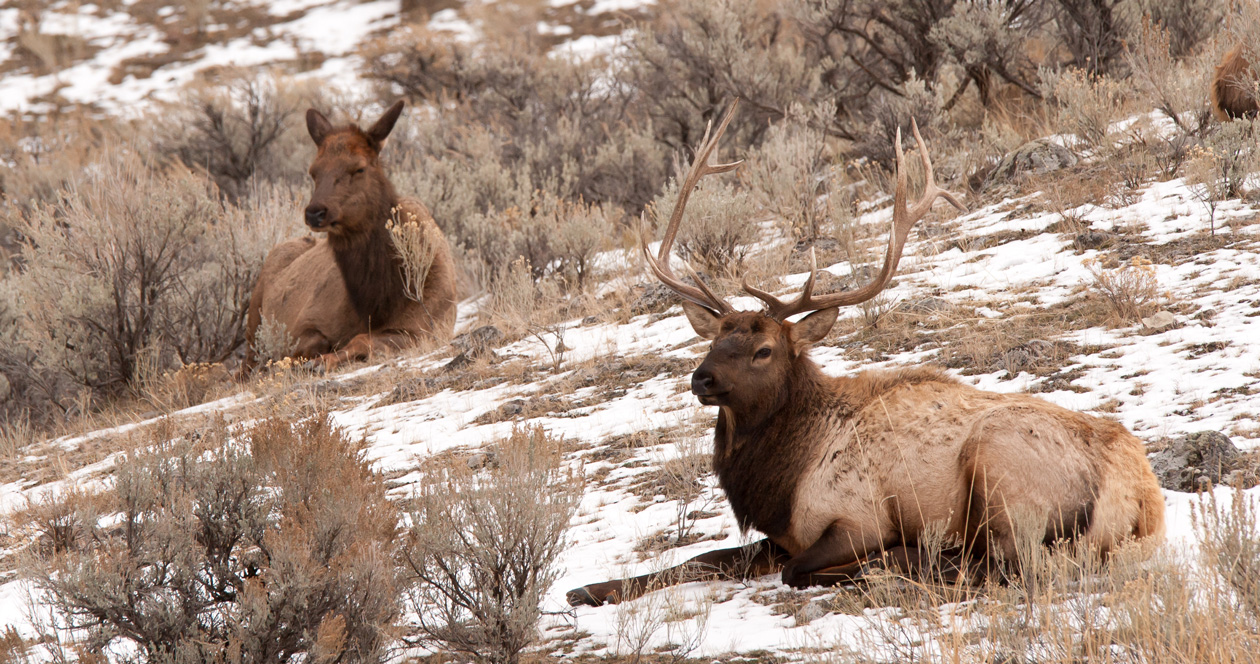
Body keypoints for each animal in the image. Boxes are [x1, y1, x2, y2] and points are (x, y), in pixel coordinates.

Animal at [241, 101, 457, 376]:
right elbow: (312, 343)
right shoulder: (307, 320)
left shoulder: (430, 325)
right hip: (253, 320)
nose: (315, 212)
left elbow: (363, 340)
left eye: (359, 168)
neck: (378, 300)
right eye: (313, 171)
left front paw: (320, 362)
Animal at [567, 104, 1165, 607]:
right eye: (713, 341)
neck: (780, 483)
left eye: (764, 350)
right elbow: (697, 560)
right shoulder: (777, 536)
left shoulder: (856, 517)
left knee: (1005, 564)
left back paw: (905, 562)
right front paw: (586, 590)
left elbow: (797, 569)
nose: (702, 379)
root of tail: (1144, 506)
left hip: (999, 465)